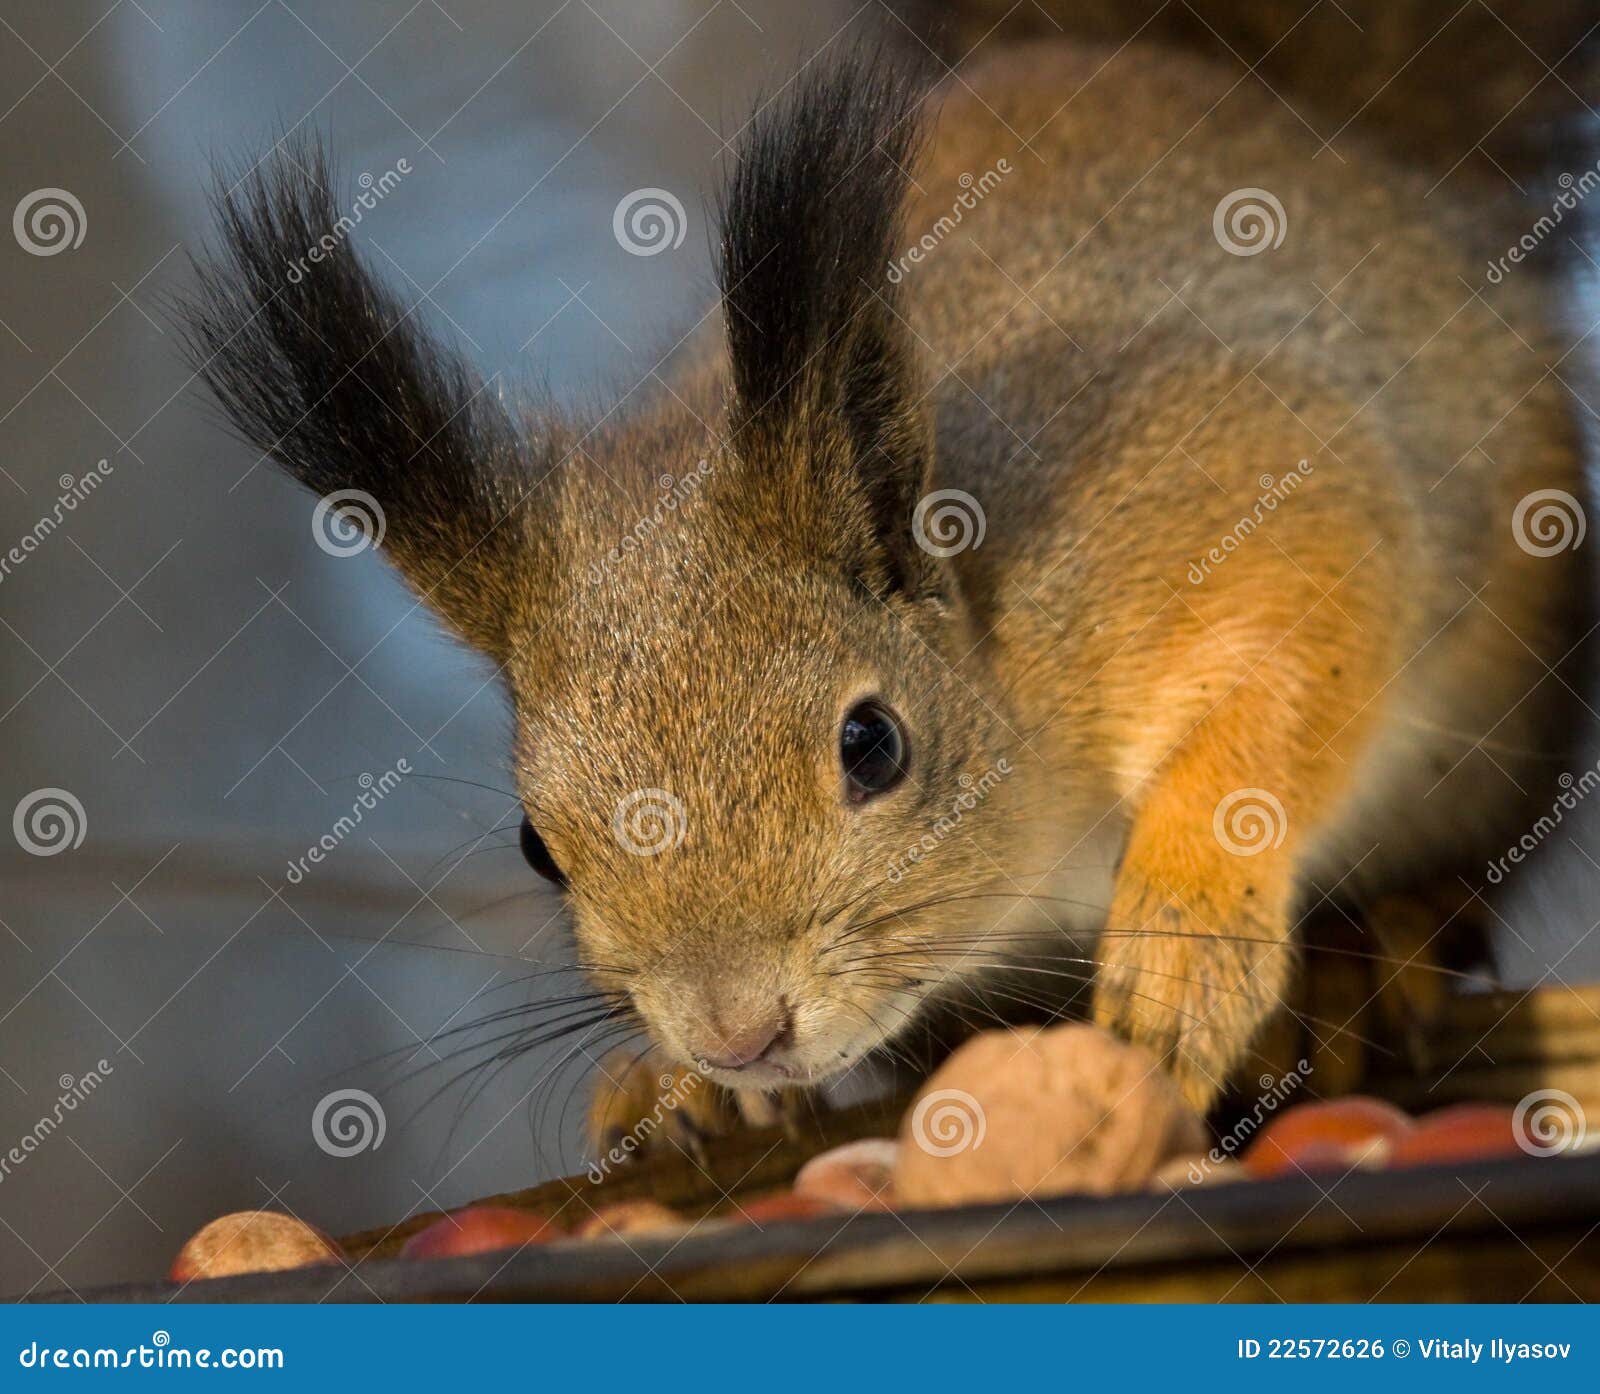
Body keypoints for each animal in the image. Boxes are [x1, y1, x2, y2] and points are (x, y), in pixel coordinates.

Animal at [180, 31, 1592, 1152]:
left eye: (874, 744)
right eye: (537, 844)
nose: (734, 1031)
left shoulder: (1216, 486)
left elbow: (1299, 635)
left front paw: (1184, 942)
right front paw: (677, 1092)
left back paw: (1369, 957)